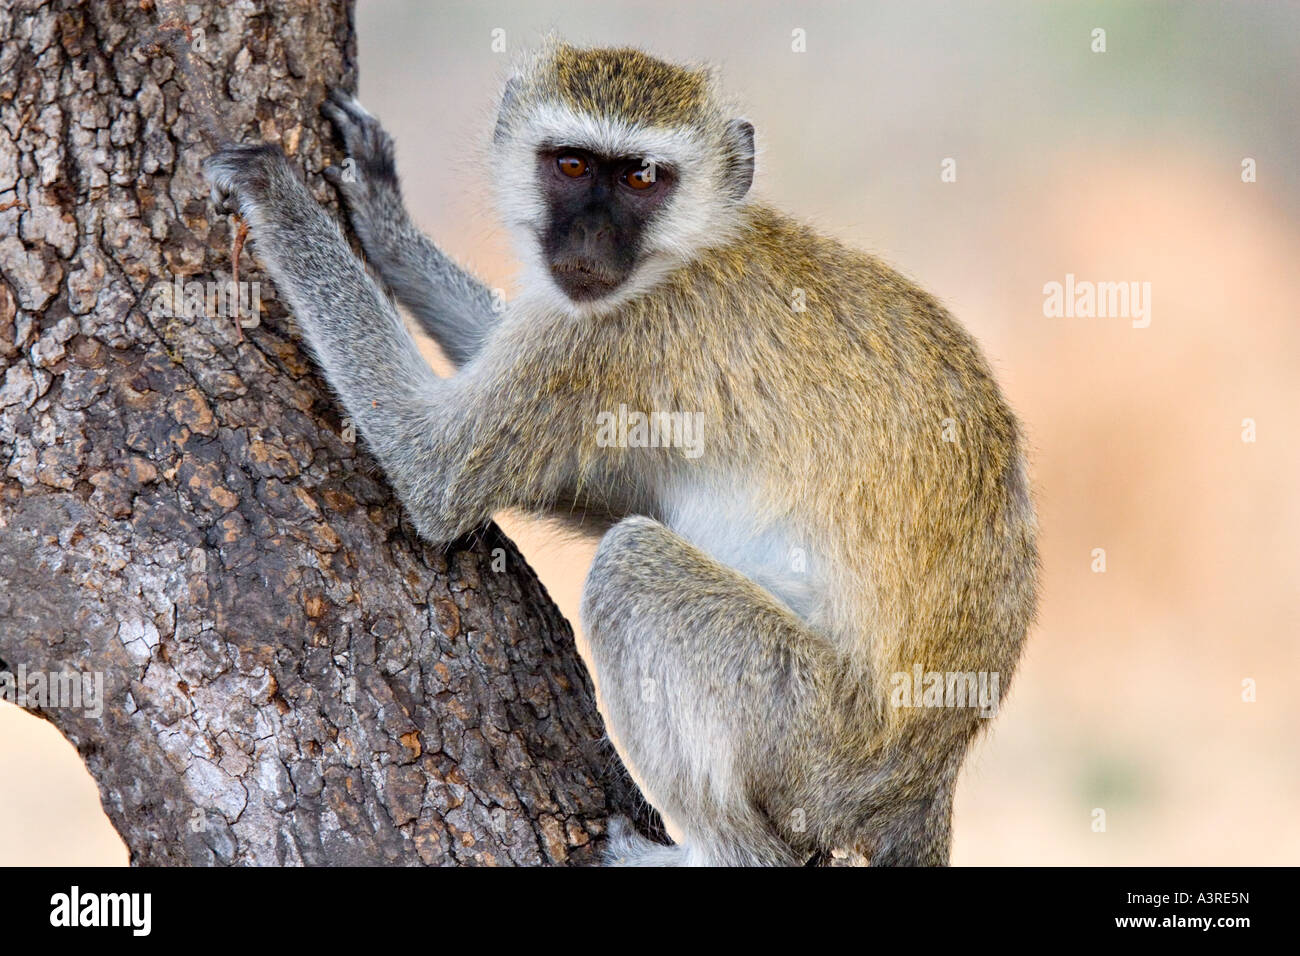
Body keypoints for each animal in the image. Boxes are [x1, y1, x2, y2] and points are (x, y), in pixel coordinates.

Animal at [203, 41, 1038, 866]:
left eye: (641, 178)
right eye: (572, 165)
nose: (589, 245)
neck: (688, 251)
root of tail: (925, 779)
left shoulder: (608, 339)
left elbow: (435, 472)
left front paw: (278, 198)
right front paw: (385, 217)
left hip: (813, 733)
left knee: (633, 569)